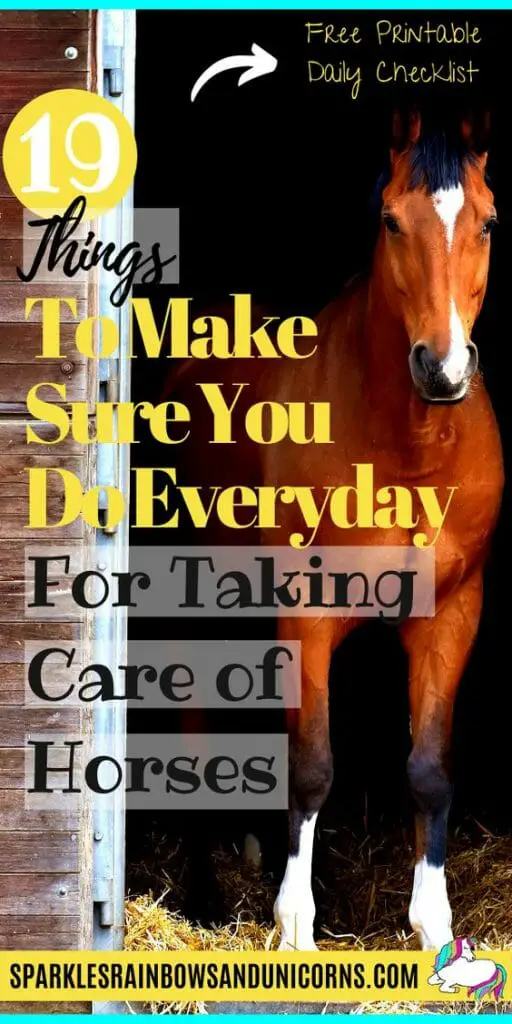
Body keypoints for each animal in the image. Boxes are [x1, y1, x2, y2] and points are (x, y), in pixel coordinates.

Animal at [162, 109, 504, 951]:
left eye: (487, 221)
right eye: (390, 220)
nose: (443, 369)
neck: (409, 449)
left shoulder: (452, 614)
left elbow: (430, 769)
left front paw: (433, 924)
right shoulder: (307, 615)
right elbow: (313, 764)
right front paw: (295, 926)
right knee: (192, 735)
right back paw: (205, 895)